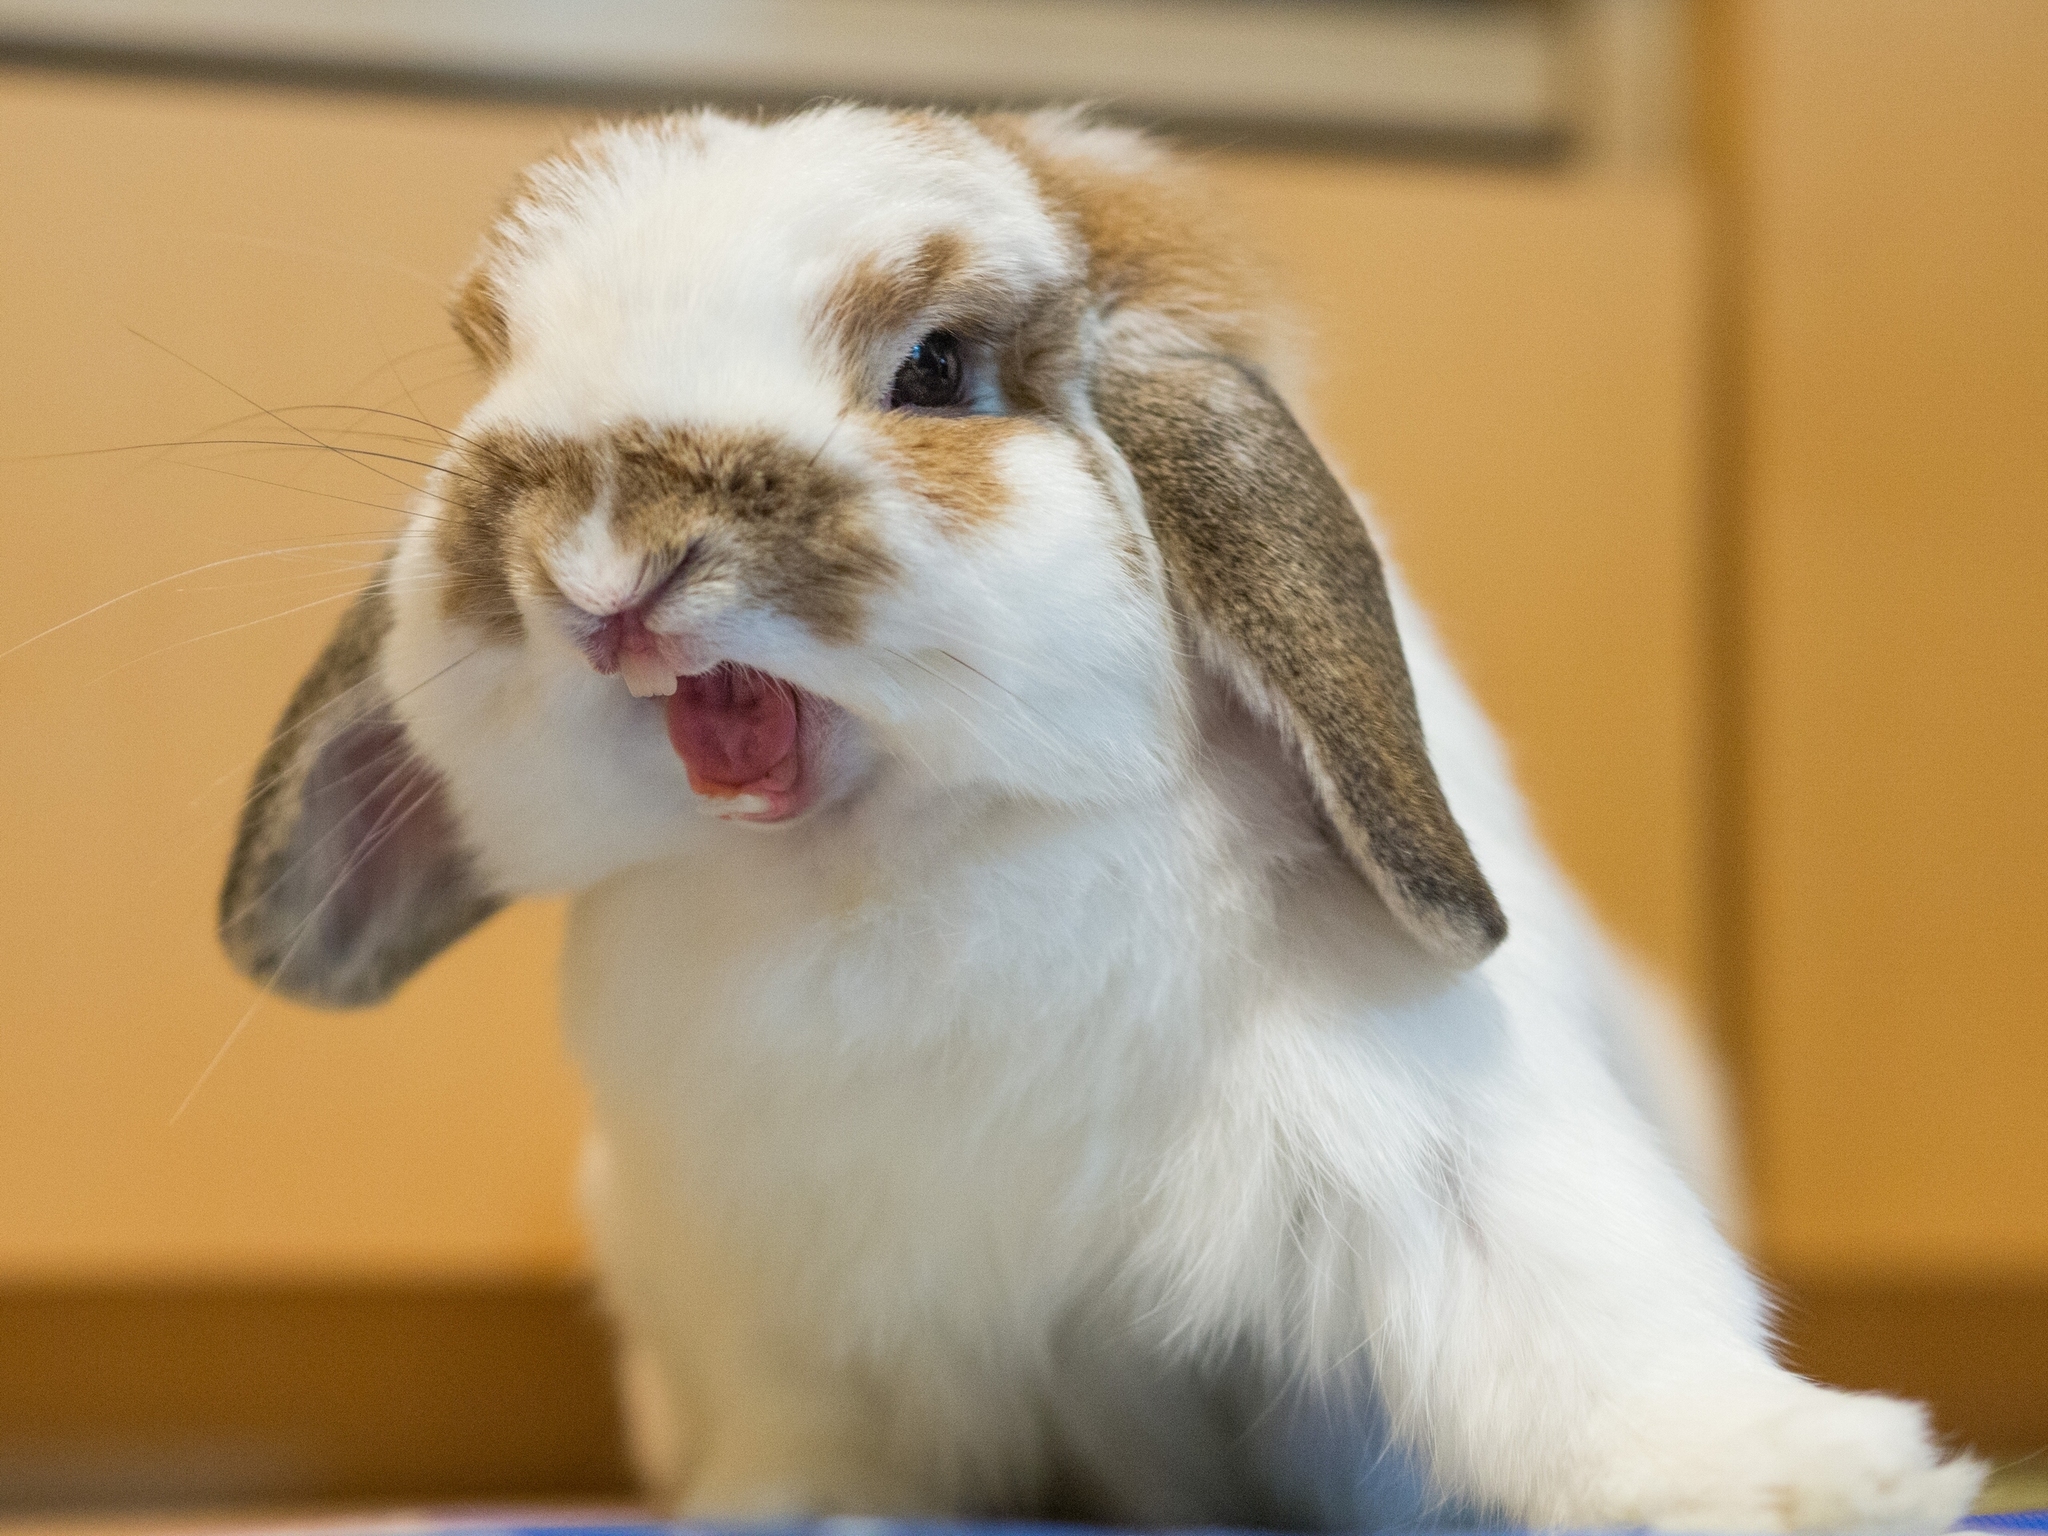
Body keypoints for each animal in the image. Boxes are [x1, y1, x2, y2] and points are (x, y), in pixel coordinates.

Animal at [218, 105, 1982, 1531]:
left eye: (933, 368)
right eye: (498, 361)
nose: (605, 562)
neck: (896, 866)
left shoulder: (1452, 1153)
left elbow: (1592, 1334)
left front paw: (1826, 1477)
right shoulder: (782, 1289)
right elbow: (826, 1441)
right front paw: (793, 1512)